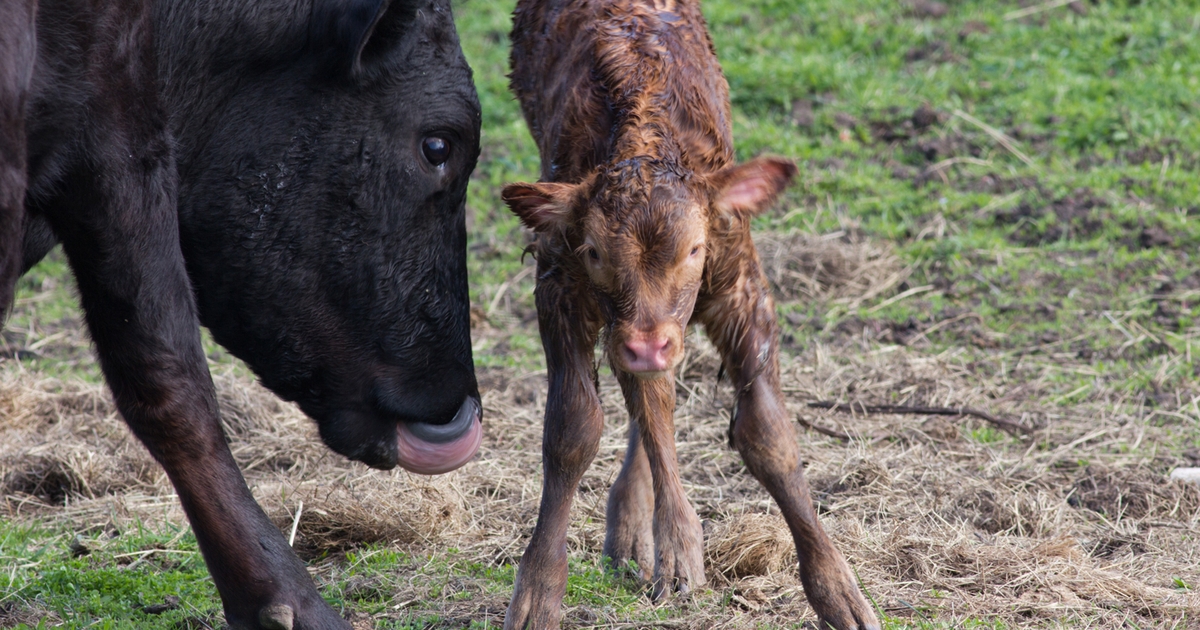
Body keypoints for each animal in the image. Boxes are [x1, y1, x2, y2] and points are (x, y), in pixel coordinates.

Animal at [499, 1, 880, 629]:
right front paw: (538, 590)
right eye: (595, 251)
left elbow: (770, 437)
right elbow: (575, 428)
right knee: (644, 392)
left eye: (695, 249)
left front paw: (838, 591)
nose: (647, 342)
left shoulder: (740, 285)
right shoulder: (560, 285)